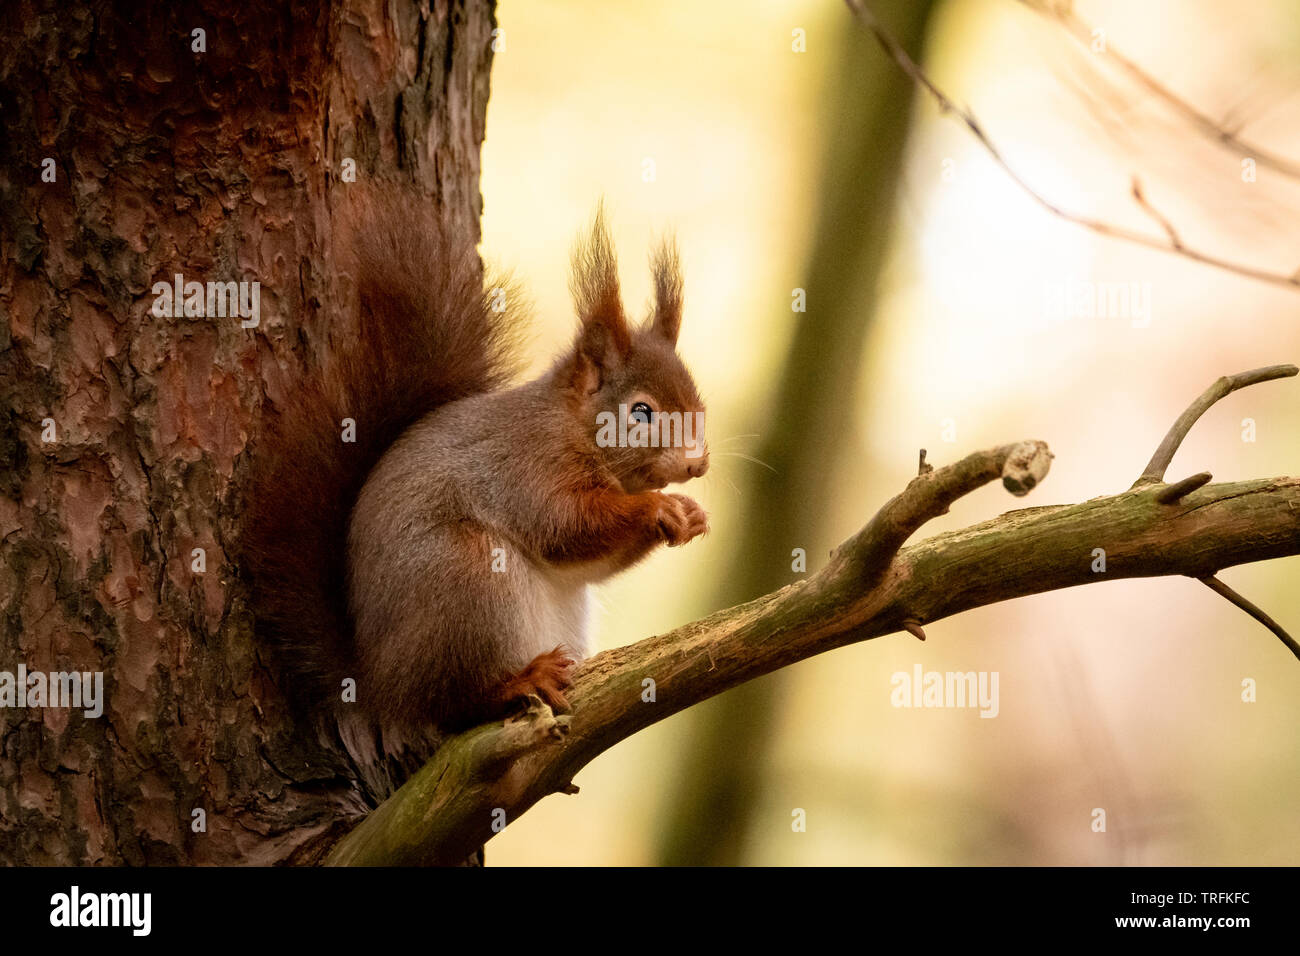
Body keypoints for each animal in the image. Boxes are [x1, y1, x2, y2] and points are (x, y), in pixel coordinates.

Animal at [242, 192, 709, 776]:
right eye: (641, 412)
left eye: (698, 400)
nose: (698, 463)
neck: (573, 427)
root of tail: (378, 683)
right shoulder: (525, 467)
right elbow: (566, 527)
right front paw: (657, 508)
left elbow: (590, 563)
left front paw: (691, 515)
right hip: (468, 576)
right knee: (454, 706)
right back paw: (518, 682)